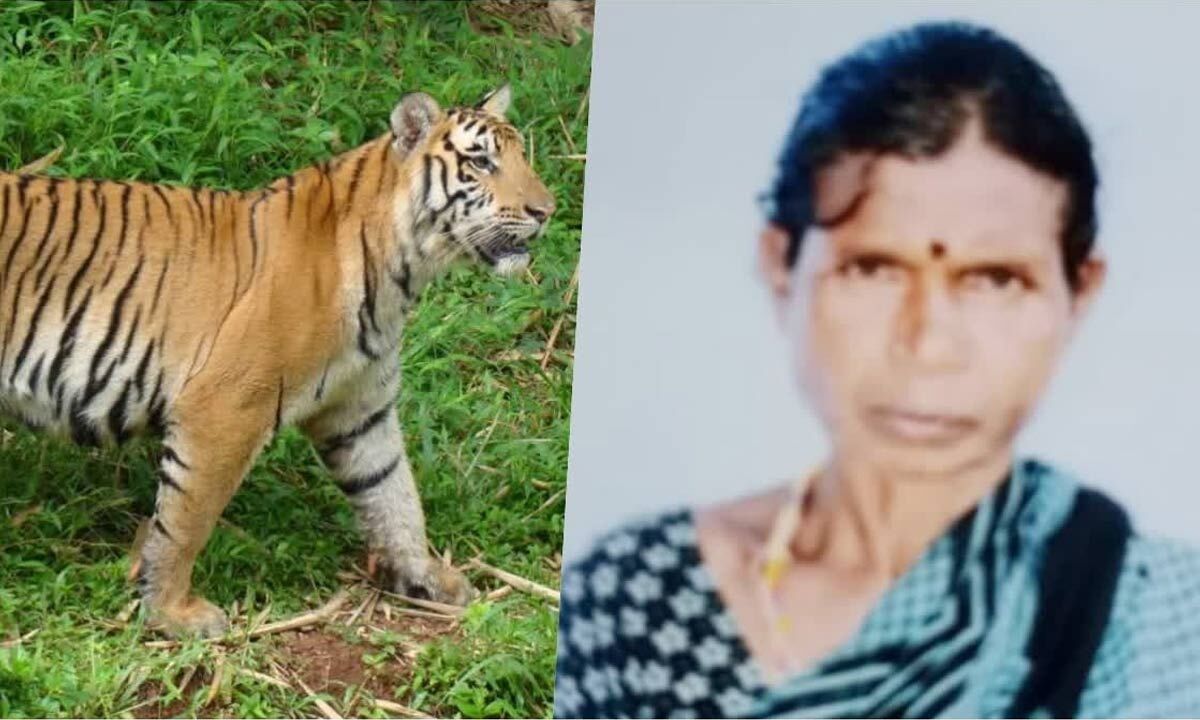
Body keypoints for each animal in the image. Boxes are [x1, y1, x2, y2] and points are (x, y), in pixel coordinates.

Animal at [0, 84, 555, 637]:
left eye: (521, 155)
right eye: (480, 161)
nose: (546, 211)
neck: (402, 273)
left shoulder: (361, 409)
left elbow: (394, 494)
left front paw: (426, 576)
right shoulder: (225, 409)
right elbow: (184, 521)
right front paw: (172, 613)